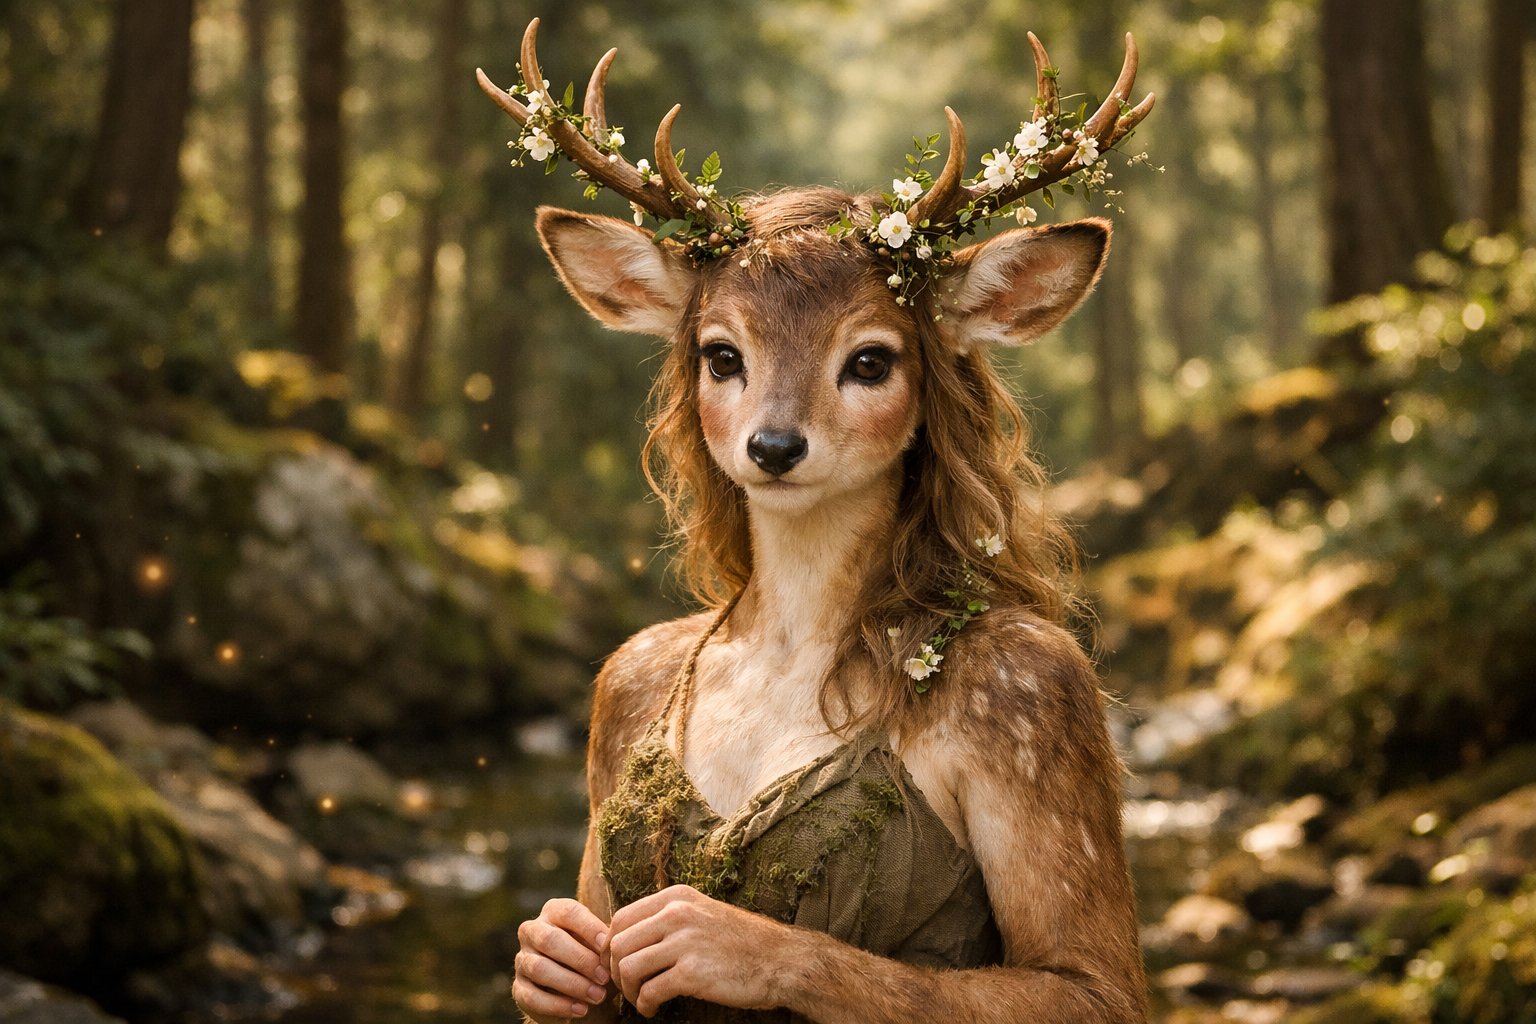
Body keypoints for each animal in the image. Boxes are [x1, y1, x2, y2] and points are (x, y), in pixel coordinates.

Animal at [478, 18, 1153, 1024]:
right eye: (720, 354)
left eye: (872, 360)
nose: (774, 445)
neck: (799, 633)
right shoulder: (619, 683)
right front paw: (551, 958)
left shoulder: (1040, 690)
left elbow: (1092, 982)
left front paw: (715, 939)